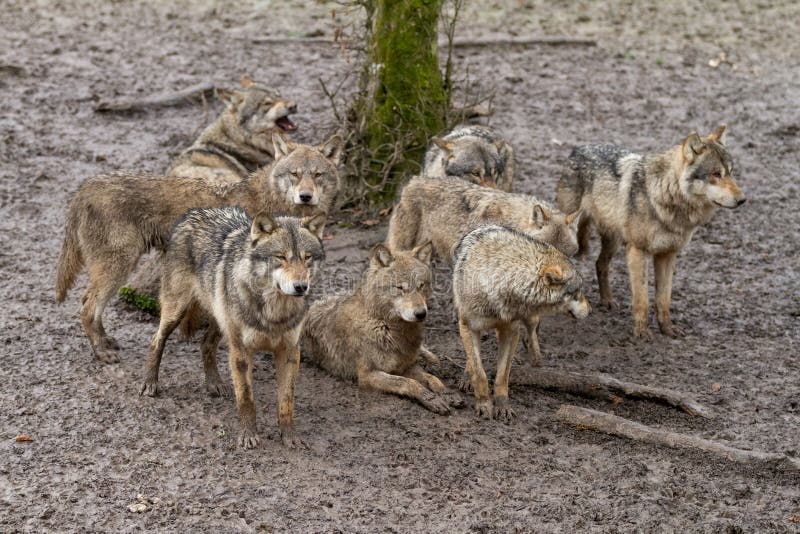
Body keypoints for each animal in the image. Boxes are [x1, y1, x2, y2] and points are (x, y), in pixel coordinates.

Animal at [55, 134, 342, 364]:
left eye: (317, 174)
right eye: (295, 173)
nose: (305, 196)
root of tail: (86, 187)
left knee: (88, 305)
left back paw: (106, 342)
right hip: (119, 267)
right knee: (87, 307)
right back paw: (102, 352)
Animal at [141, 207, 325, 449]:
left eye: (307, 257)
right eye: (281, 257)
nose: (301, 287)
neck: (274, 314)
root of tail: (192, 212)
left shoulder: (290, 351)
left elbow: (286, 402)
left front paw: (289, 437)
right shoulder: (241, 351)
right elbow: (246, 398)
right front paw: (248, 435)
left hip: (219, 321)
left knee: (205, 343)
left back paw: (215, 384)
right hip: (176, 312)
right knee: (156, 340)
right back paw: (150, 383)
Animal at [302, 242, 463, 414]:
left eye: (421, 286)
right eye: (400, 288)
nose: (421, 313)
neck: (387, 326)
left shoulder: (406, 366)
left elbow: (431, 378)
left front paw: (446, 392)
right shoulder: (367, 375)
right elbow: (407, 382)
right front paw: (431, 398)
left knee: (426, 354)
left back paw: (435, 363)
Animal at [452, 225, 591, 421]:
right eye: (577, 291)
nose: (590, 310)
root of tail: (488, 225)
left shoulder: (511, 331)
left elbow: (502, 376)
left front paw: (502, 406)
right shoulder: (468, 327)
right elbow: (479, 373)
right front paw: (484, 404)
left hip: (530, 318)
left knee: (531, 335)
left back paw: (536, 361)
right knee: (472, 358)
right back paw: (467, 377)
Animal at [556, 125, 746, 339]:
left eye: (730, 172)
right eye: (716, 174)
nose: (742, 200)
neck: (666, 195)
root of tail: (577, 150)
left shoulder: (668, 254)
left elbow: (664, 299)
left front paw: (668, 329)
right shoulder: (638, 252)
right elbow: (642, 299)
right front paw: (641, 332)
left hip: (614, 241)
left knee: (600, 264)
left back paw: (607, 301)